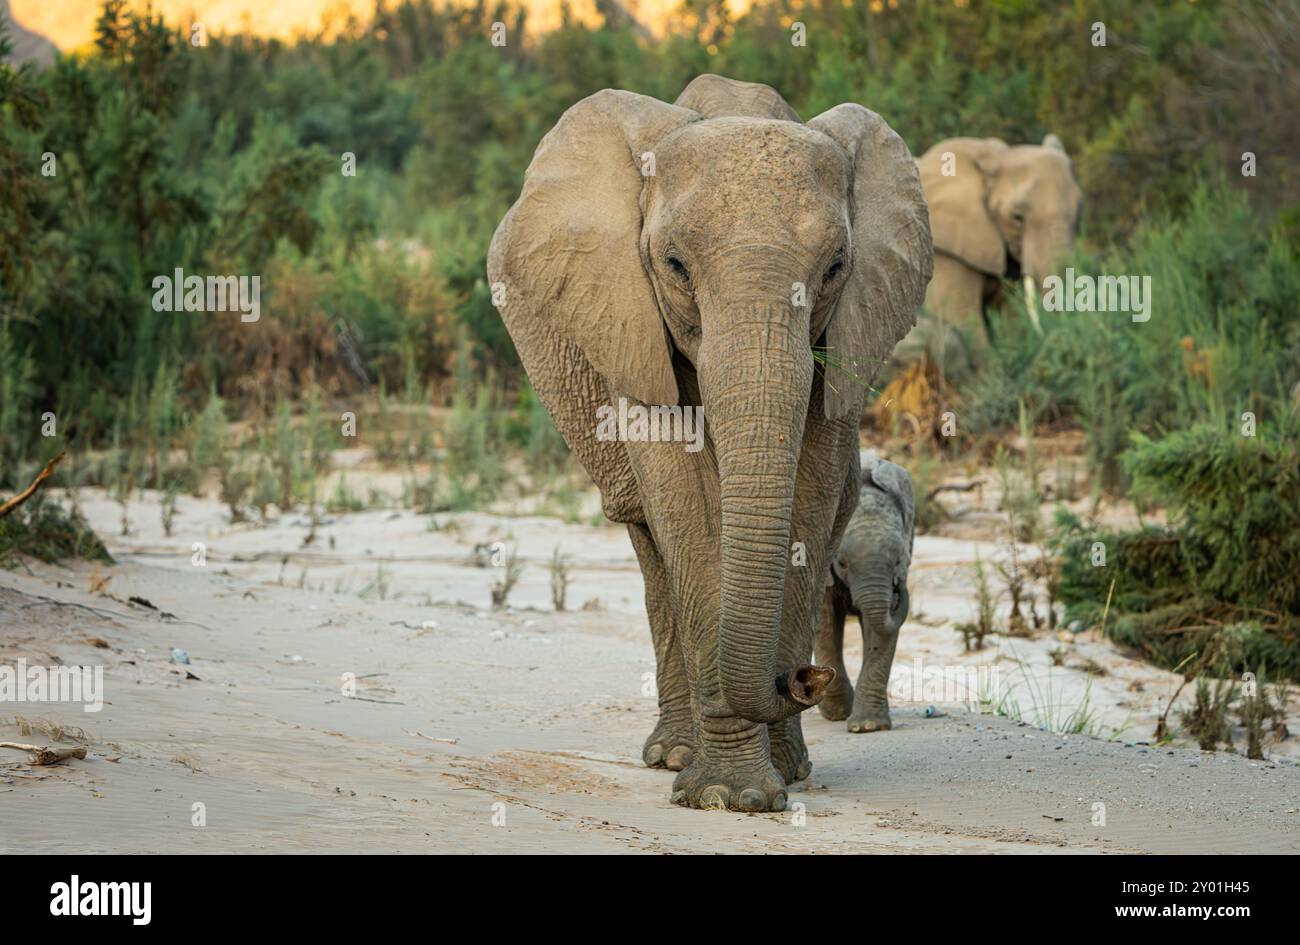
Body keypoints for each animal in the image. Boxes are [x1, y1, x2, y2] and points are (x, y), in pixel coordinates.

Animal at [815, 457, 914, 733]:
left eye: (899, 560)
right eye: (842, 562)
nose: (901, 587)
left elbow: (879, 630)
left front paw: (868, 726)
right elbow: (826, 622)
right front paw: (838, 713)